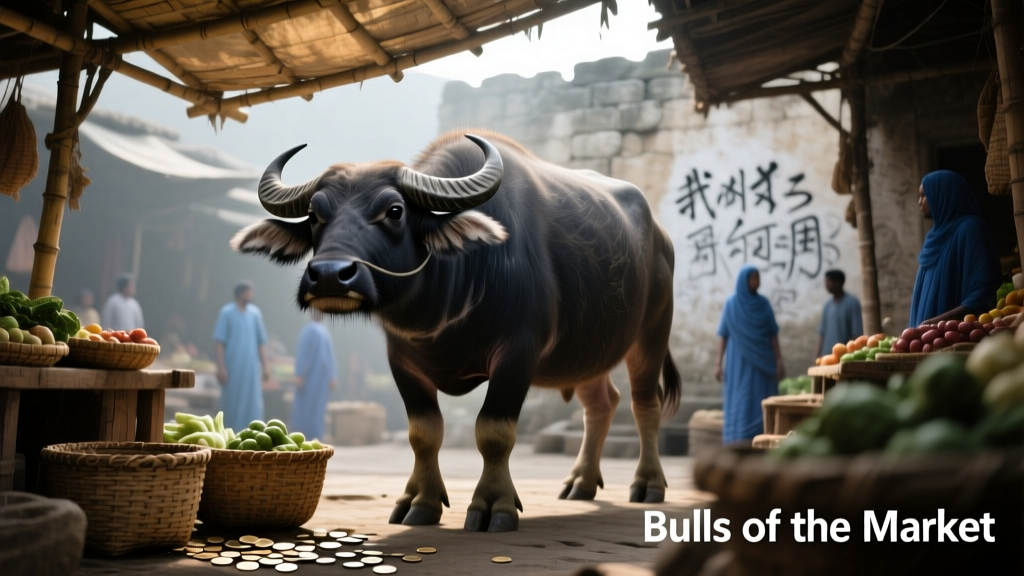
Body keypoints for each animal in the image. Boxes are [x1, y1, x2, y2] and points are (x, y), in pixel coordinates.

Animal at [232, 130, 680, 532]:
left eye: (394, 210)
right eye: (315, 215)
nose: (328, 275)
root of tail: (660, 235)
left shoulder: (517, 354)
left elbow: (494, 432)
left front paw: (494, 506)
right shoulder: (402, 362)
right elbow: (423, 434)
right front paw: (419, 503)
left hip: (651, 334)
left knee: (645, 404)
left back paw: (647, 484)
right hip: (586, 351)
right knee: (601, 404)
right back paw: (580, 483)